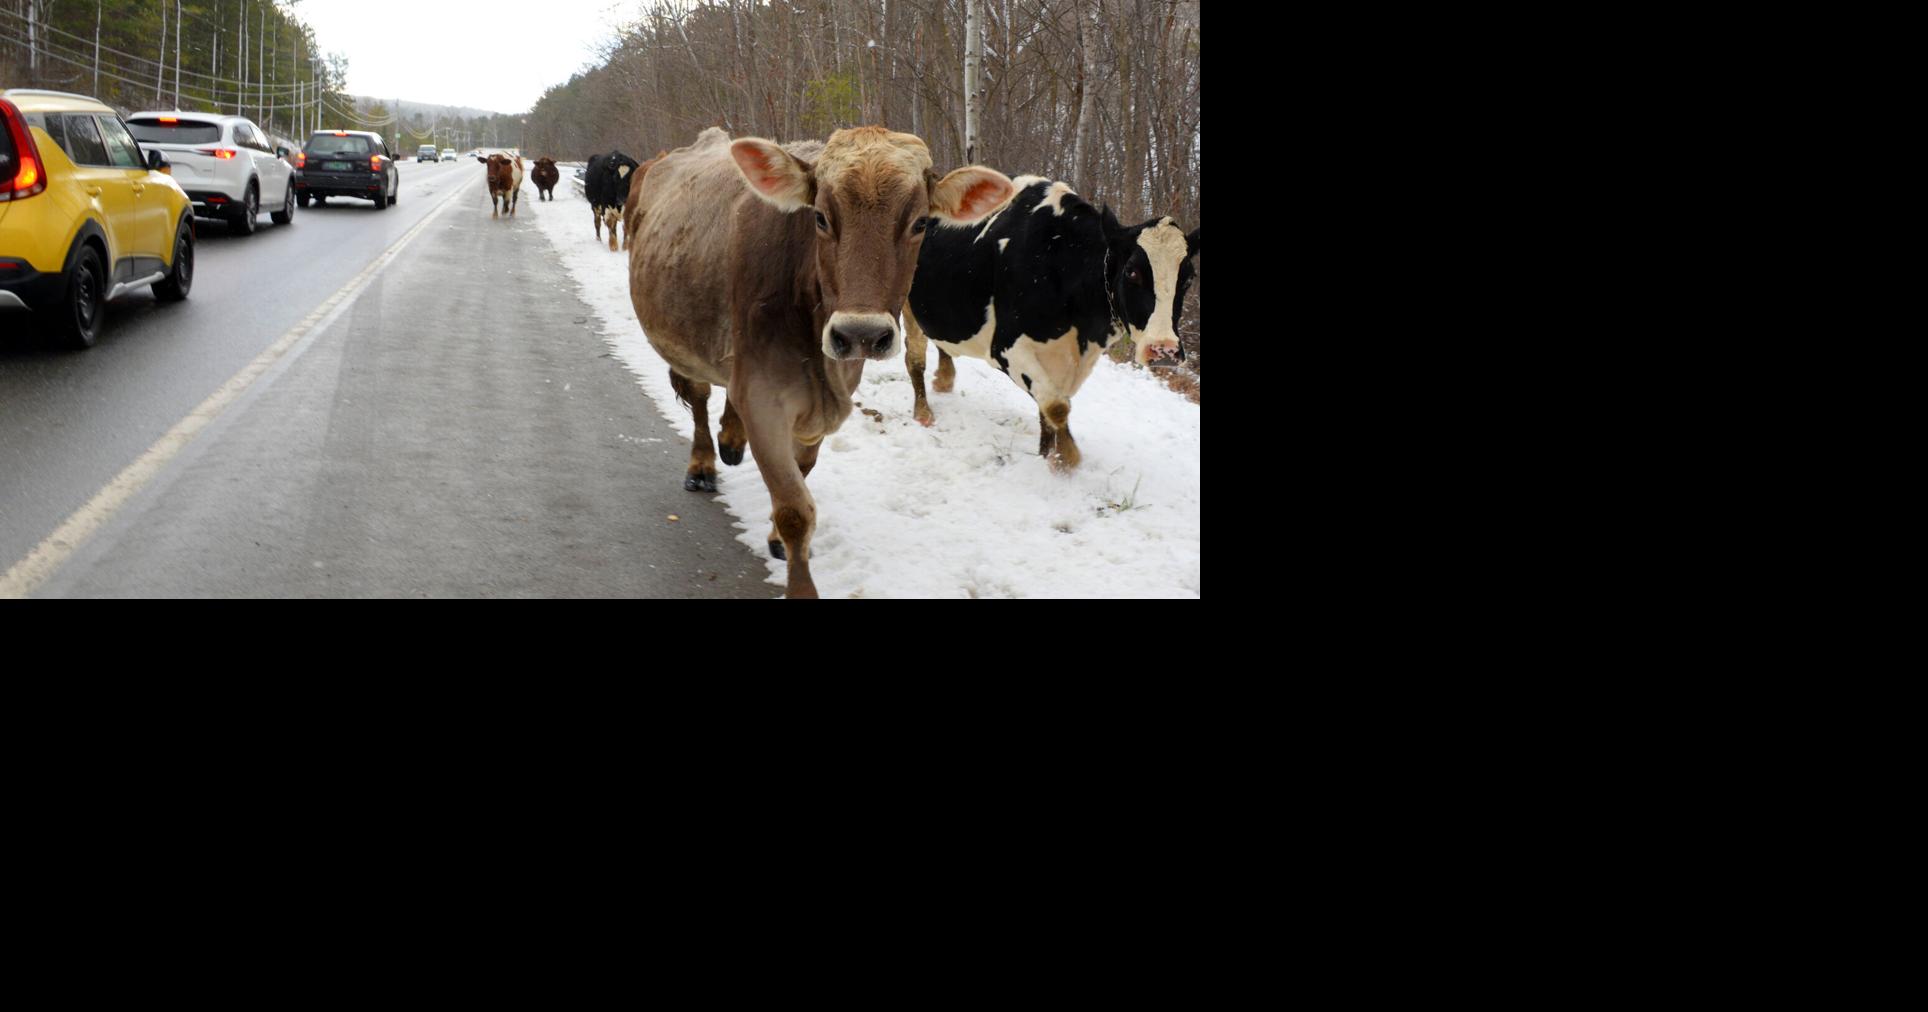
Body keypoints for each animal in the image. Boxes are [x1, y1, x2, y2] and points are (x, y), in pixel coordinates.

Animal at [627, 126, 1013, 598]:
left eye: (920, 223)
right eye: (822, 218)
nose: (861, 334)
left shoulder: (826, 400)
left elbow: (803, 472)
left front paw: (774, 534)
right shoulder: (765, 400)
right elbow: (795, 509)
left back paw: (731, 438)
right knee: (699, 395)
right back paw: (702, 464)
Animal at [903, 175, 1199, 472]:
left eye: (1189, 278)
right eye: (1132, 272)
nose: (1164, 350)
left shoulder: (1071, 358)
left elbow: (1051, 404)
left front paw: (1047, 454)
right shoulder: (1006, 348)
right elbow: (1056, 405)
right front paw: (1065, 457)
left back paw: (944, 380)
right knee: (914, 358)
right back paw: (923, 411)